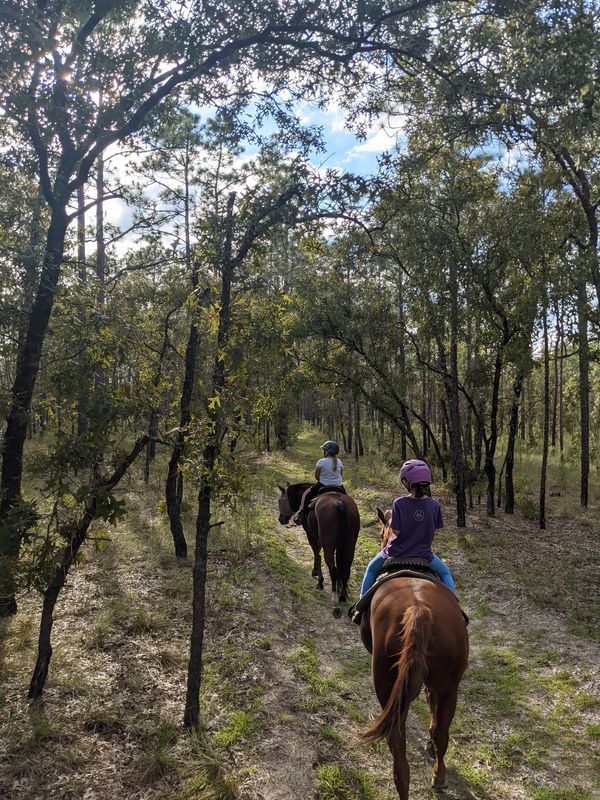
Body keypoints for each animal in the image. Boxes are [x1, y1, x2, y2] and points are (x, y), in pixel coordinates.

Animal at [277, 481, 360, 618]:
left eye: (280, 501)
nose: (281, 519)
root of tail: (339, 504)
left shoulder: (311, 535)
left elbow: (317, 554)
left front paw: (319, 579)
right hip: (349, 545)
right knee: (346, 569)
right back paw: (342, 595)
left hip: (329, 545)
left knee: (333, 569)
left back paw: (335, 602)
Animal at [358, 510, 469, 799]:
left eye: (380, 532)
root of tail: (418, 609)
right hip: (449, 687)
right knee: (442, 733)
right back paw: (439, 776)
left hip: (386, 683)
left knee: (398, 749)